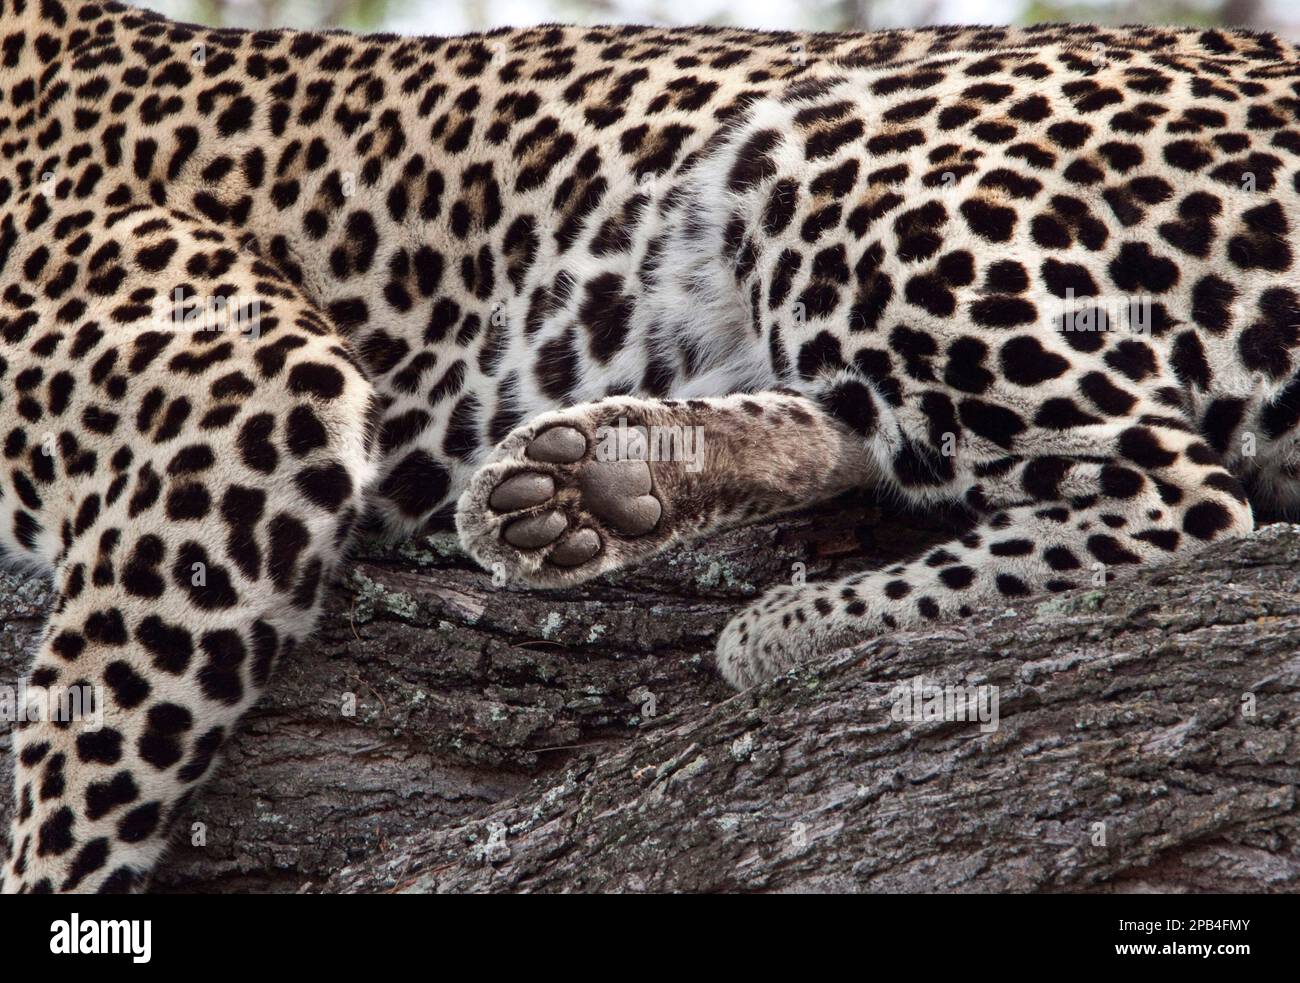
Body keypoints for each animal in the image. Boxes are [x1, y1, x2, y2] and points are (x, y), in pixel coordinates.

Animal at [2, 0, 1299, 893]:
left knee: (1179, 496)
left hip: (839, 142)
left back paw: (783, 623)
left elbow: (83, 736)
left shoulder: (242, 383)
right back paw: (594, 480)